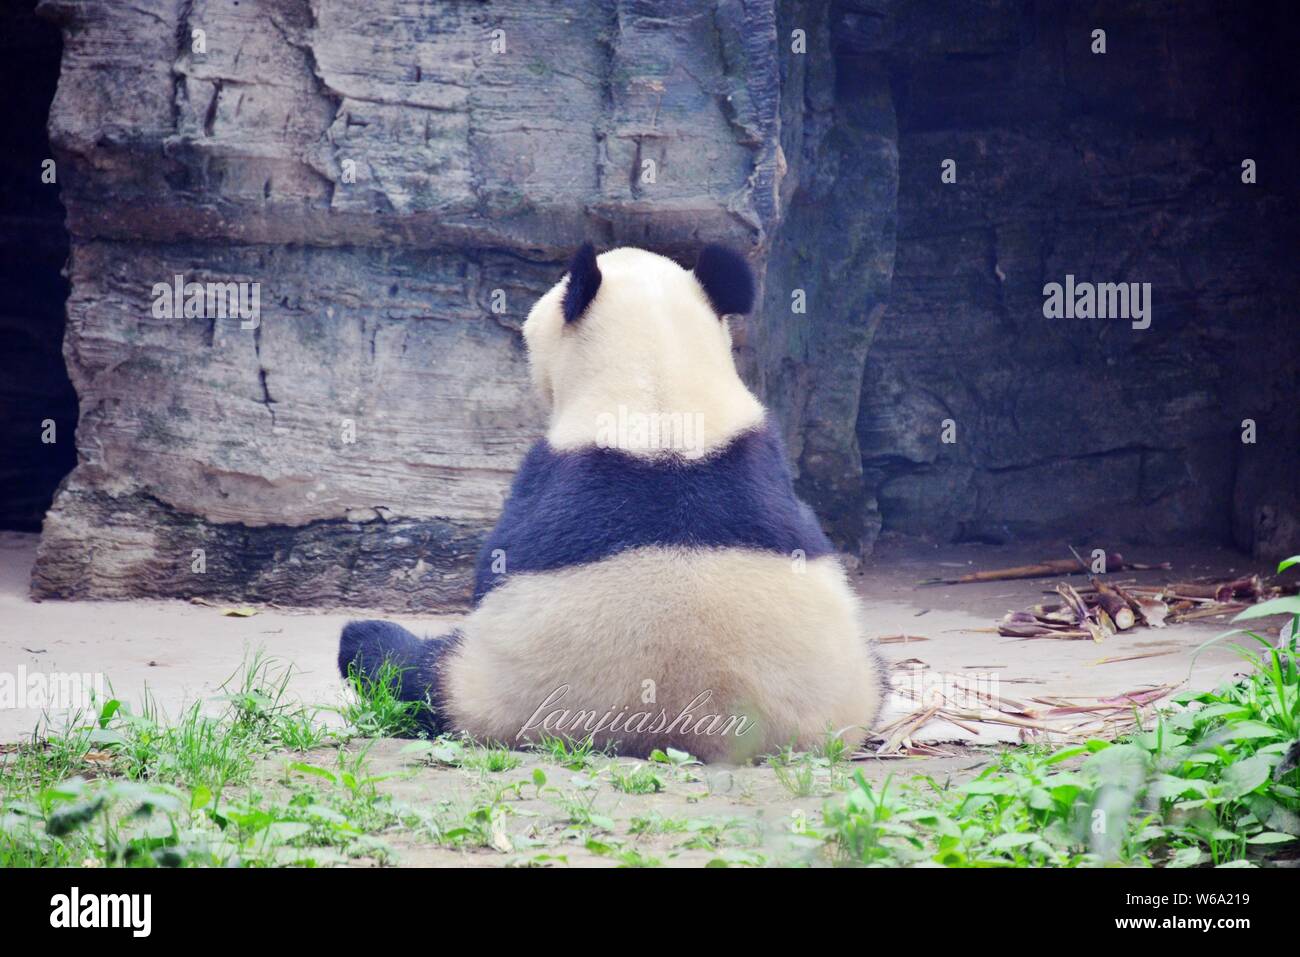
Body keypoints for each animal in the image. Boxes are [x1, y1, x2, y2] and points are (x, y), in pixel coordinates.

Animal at [338, 243, 886, 763]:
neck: (660, 392)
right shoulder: (768, 467)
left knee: (396, 665)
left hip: (485, 685)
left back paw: (370, 642)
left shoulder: (545, 480)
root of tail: (685, 728)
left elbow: (494, 561)